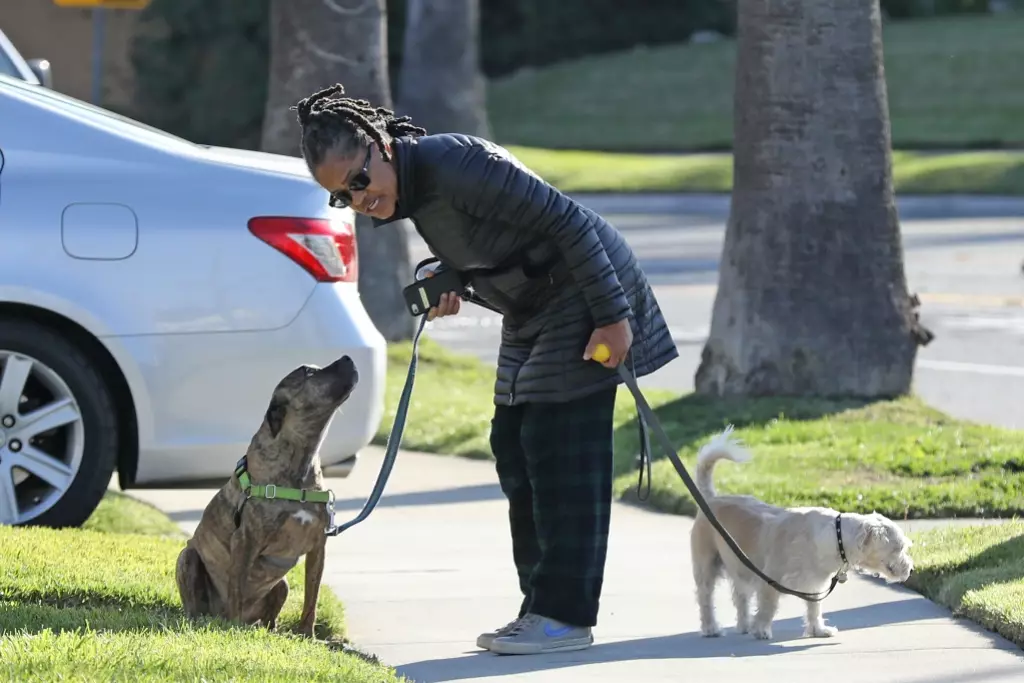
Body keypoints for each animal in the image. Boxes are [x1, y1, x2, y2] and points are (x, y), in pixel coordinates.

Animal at [172, 356, 356, 638]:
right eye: (309, 372)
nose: (347, 357)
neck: (299, 460)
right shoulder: (245, 540)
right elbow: (236, 588)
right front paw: (232, 629)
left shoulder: (318, 547)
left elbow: (312, 596)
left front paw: (307, 635)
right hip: (188, 558)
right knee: (197, 600)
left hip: (282, 586)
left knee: (272, 613)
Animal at [692, 428, 917, 643]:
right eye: (899, 548)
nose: (912, 569)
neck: (836, 539)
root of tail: (711, 499)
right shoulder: (771, 579)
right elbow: (768, 606)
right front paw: (762, 629)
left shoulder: (815, 585)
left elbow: (814, 608)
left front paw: (818, 629)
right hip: (706, 564)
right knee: (705, 597)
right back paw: (711, 628)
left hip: (740, 566)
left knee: (740, 595)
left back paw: (744, 624)